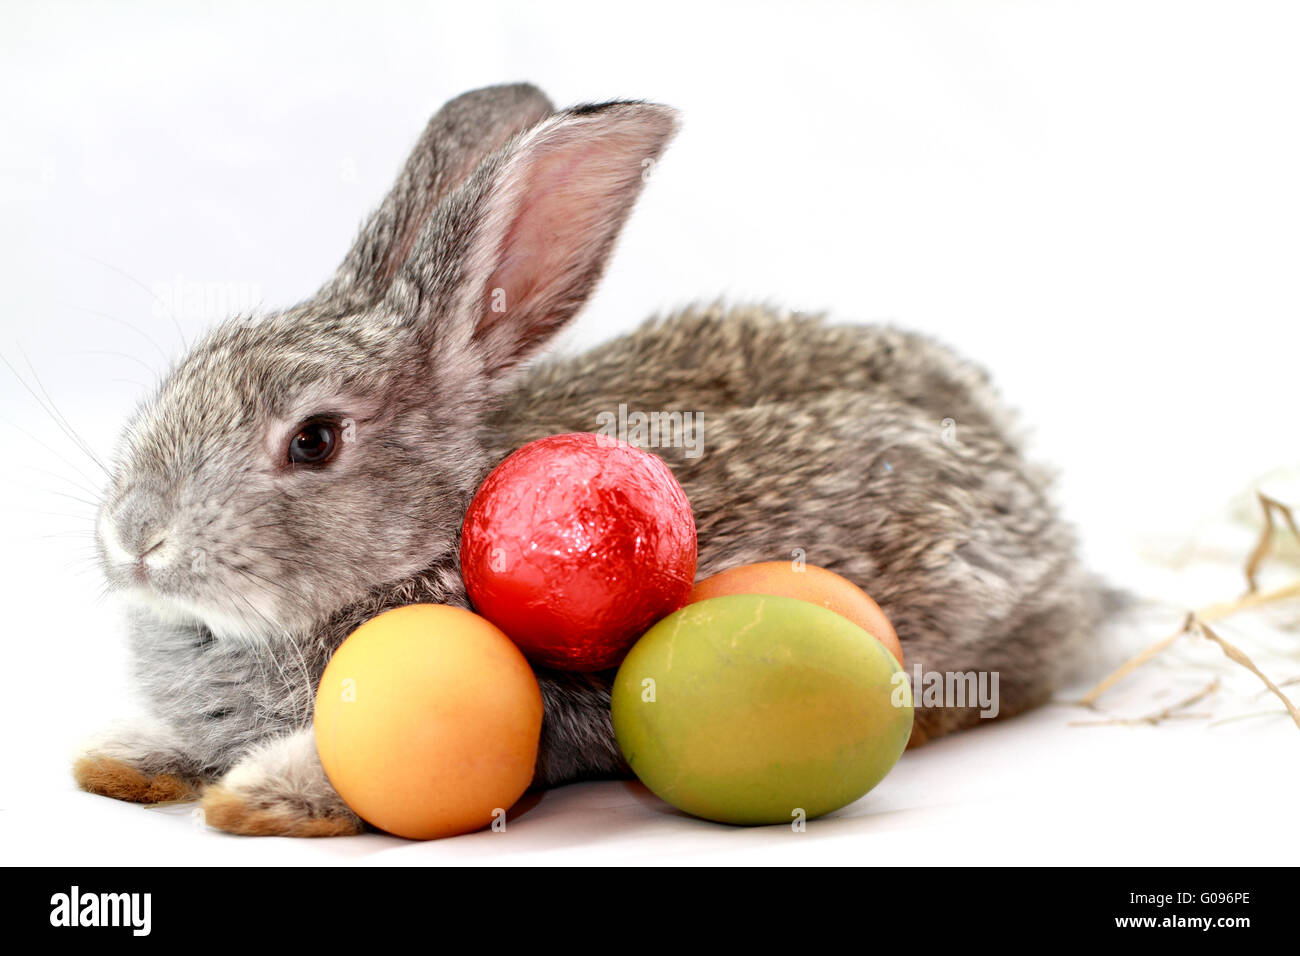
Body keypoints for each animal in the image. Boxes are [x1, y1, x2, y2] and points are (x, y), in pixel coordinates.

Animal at [74, 82, 1119, 836]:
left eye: (314, 440)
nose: (134, 540)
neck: (437, 532)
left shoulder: (547, 713)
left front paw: (255, 798)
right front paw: (119, 761)